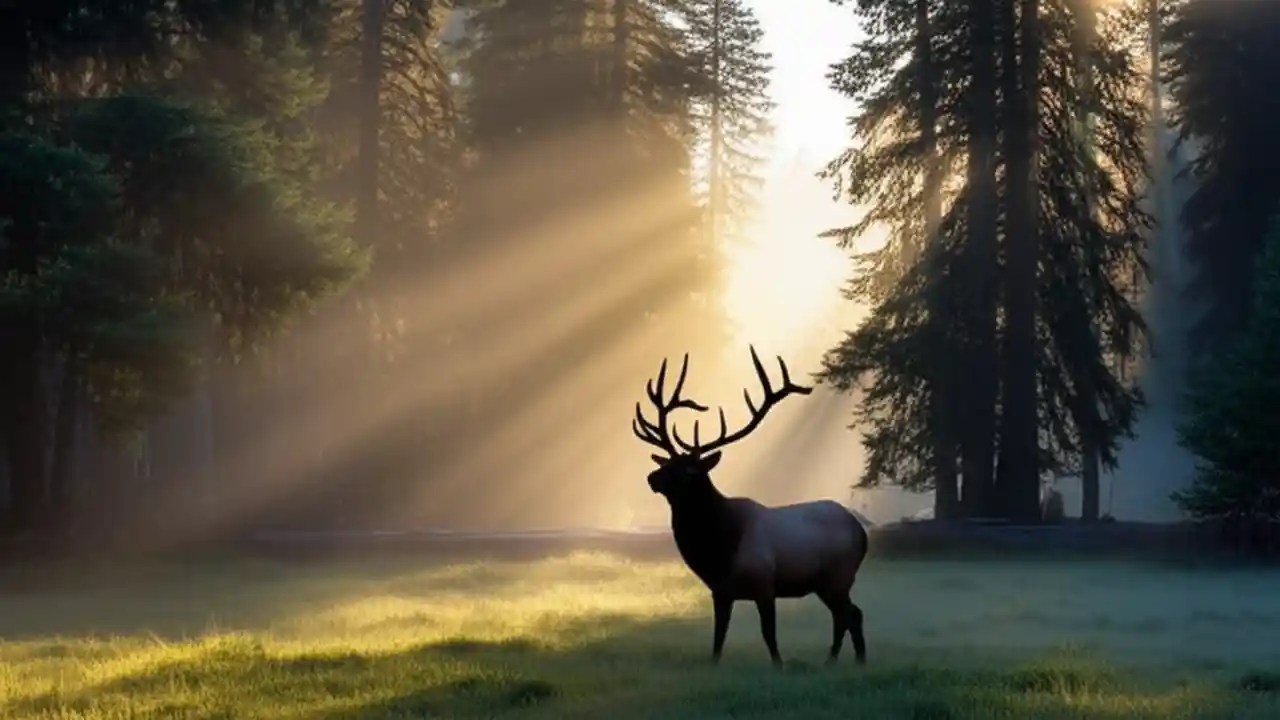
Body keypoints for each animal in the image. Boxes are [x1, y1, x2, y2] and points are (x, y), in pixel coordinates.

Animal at [632, 347, 869, 667]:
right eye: (668, 462)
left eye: (688, 470)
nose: (651, 477)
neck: (718, 551)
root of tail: (861, 532)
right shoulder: (720, 591)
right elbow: (718, 638)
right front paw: (715, 666)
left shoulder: (764, 584)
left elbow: (769, 634)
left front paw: (779, 666)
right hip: (826, 582)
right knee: (846, 615)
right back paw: (840, 661)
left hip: (838, 574)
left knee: (850, 614)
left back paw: (849, 660)